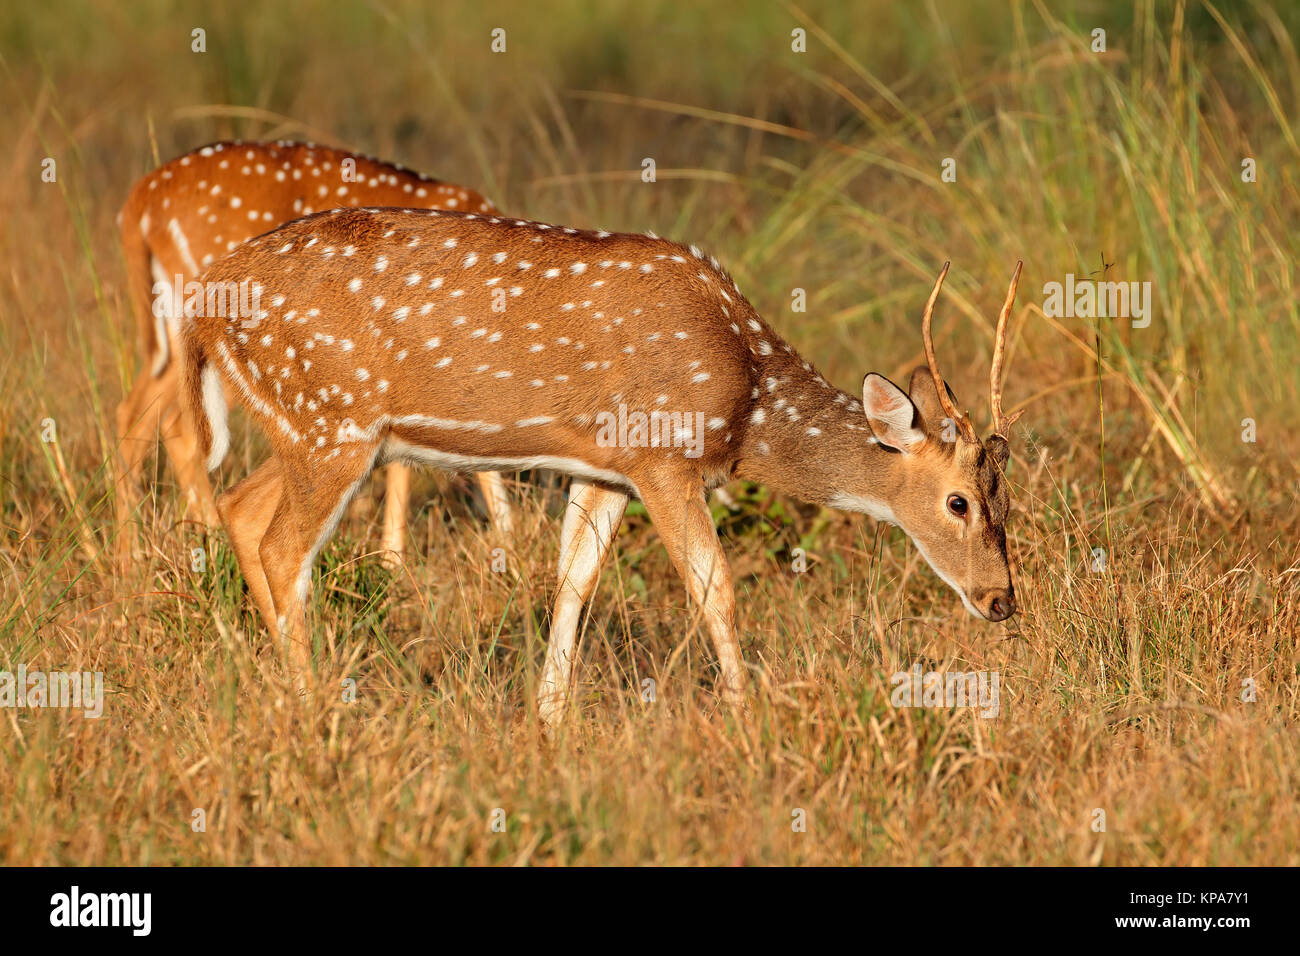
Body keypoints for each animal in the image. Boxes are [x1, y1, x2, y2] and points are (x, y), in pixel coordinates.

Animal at [180, 203, 1024, 727]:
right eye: (958, 501)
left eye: (1005, 499)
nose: (1002, 600)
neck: (748, 399)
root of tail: (203, 302)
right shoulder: (661, 452)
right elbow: (714, 586)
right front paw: (746, 716)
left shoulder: (603, 466)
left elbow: (573, 581)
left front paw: (550, 718)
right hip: (333, 420)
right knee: (282, 545)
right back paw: (312, 703)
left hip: (310, 427)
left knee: (242, 508)